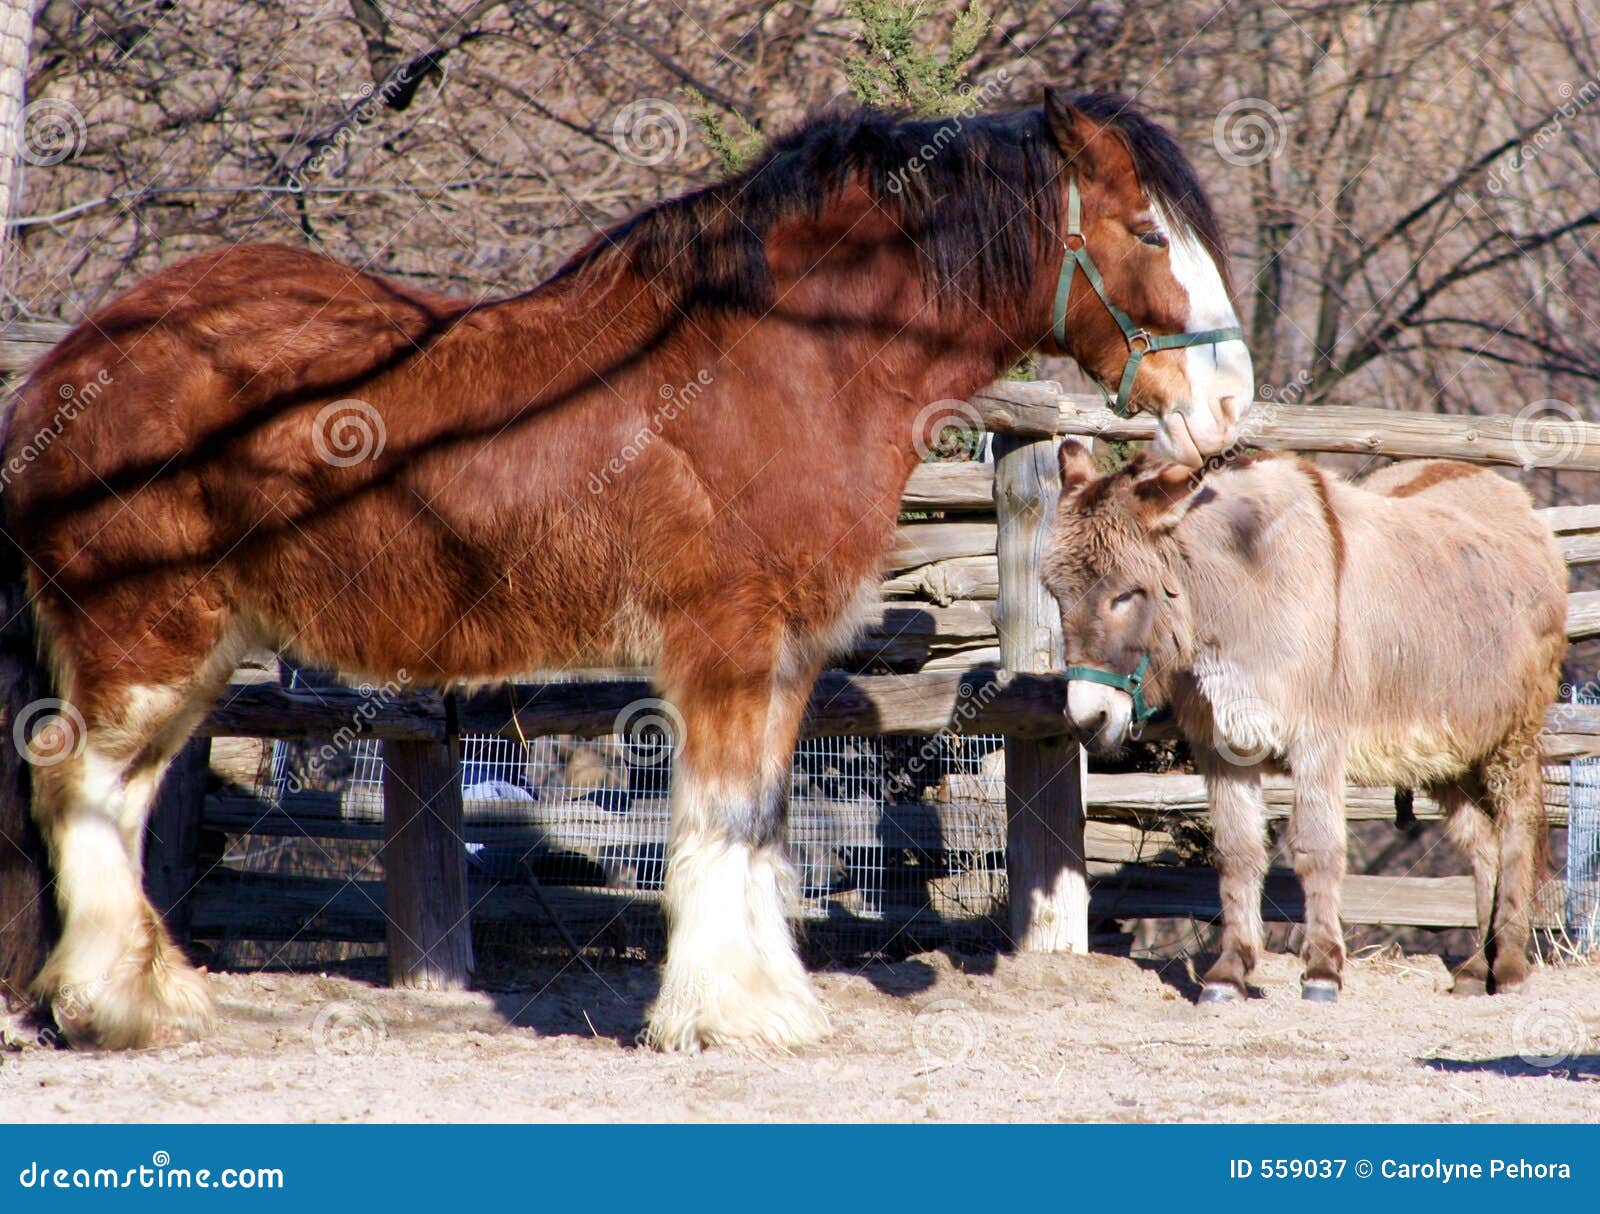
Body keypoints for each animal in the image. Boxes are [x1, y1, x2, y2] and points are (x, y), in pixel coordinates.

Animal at [2, 89, 1253, 1050]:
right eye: (1147, 234)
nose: (1230, 406)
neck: (784, 359)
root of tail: (72, 370)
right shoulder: (724, 640)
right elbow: (724, 816)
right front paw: (725, 1013)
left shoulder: (782, 654)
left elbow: (759, 820)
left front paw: (766, 1003)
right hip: (143, 637)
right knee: (81, 789)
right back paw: (113, 1006)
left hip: (188, 651)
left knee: (117, 798)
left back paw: (150, 994)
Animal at [1043, 445, 1566, 1002]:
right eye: (1055, 593)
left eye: (1126, 594)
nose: (1088, 718)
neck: (1244, 594)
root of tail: (1511, 496)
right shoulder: (1220, 747)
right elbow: (1238, 852)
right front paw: (1230, 971)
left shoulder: (1318, 743)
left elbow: (1318, 849)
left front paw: (1321, 971)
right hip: (1449, 751)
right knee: (1482, 843)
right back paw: (1471, 969)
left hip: (1512, 735)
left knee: (1516, 829)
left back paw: (1508, 966)